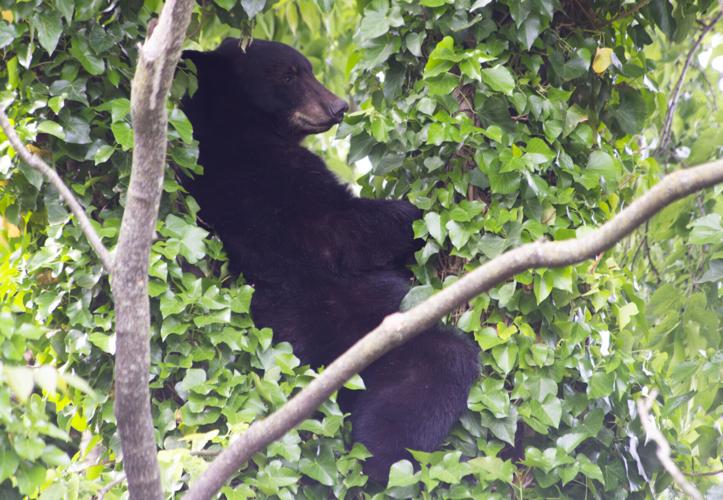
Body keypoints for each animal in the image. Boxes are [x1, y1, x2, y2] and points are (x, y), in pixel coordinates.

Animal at [180, 38, 480, 482]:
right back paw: (381, 468)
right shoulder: (270, 177)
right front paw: (431, 204)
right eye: (289, 75)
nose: (338, 106)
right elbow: (345, 228)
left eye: (308, 68)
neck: (236, 119)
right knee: (434, 373)